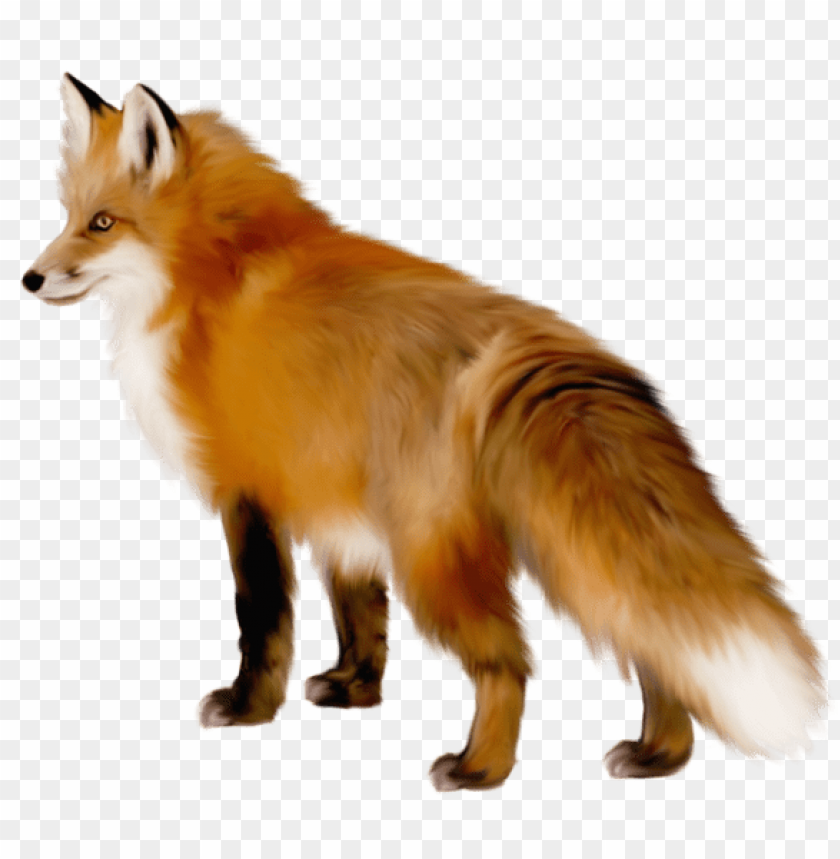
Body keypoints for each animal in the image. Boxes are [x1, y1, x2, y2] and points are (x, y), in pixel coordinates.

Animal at [22, 74, 825, 790]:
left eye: (102, 224)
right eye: (67, 214)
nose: (29, 279)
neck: (212, 274)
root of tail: (547, 349)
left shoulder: (247, 489)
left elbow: (262, 618)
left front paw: (249, 707)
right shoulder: (335, 505)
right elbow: (358, 614)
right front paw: (354, 689)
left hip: (432, 554)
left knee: (510, 663)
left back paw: (480, 769)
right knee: (650, 643)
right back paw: (659, 756)